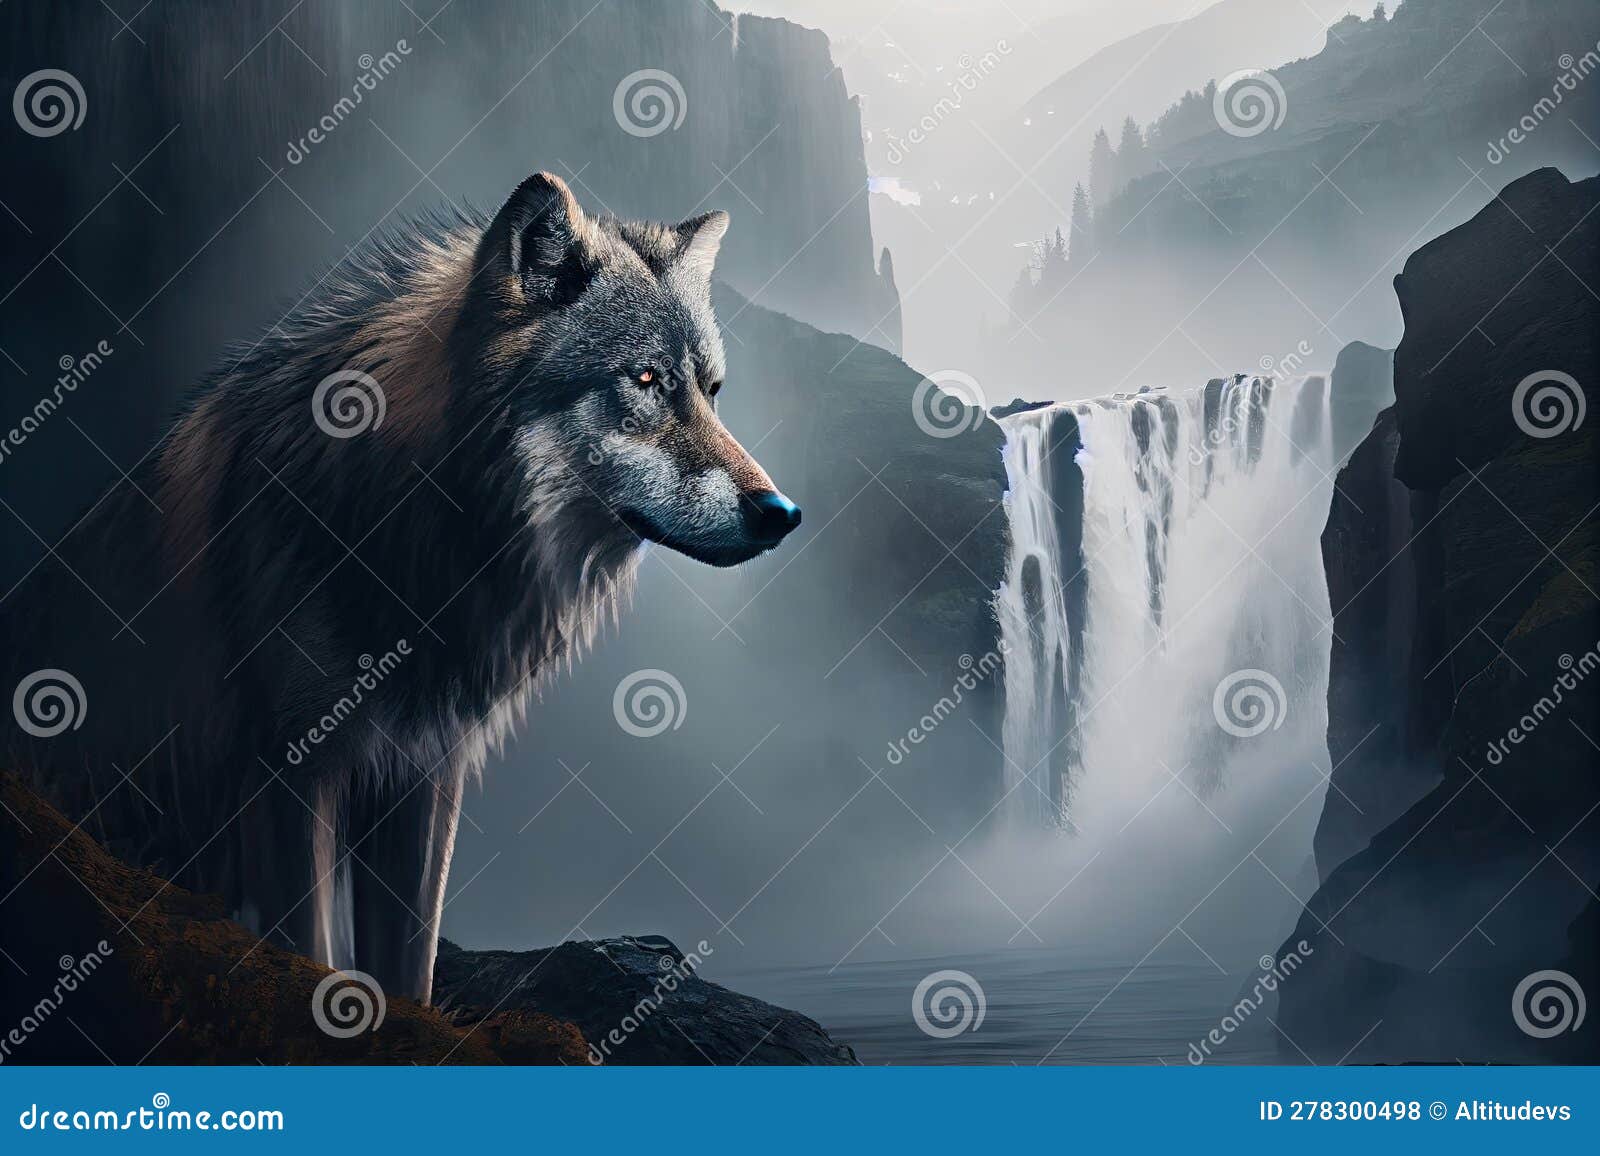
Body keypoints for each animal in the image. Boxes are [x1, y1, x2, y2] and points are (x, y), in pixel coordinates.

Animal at [2, 172, 800, 1003]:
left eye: (711, 390)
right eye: (645, 380)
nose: (780, 513)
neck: (414, 528)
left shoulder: (424, 773)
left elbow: (407, 968)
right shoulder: (289, 775)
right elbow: (313, 950)